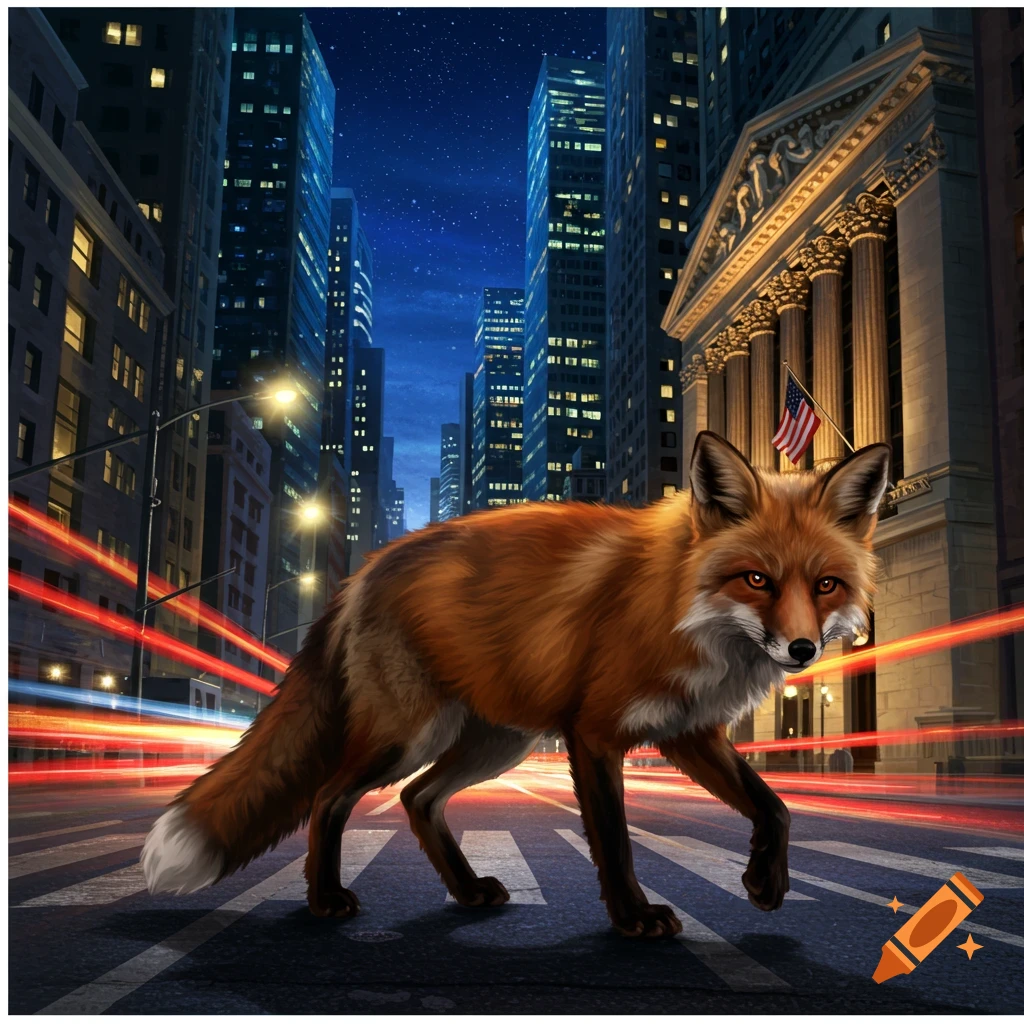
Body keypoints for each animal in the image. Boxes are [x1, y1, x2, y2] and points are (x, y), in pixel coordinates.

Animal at [141, 431, 890, 939]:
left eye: (825, 585)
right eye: (757, 579)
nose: (802, 649)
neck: (682, 605)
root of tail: (363, 572)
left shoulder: (688, 731)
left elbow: (774, 808)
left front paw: (766, 882)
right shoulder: (595, 733)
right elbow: (614, 839)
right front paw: (633, 918)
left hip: (496, 743)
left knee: (417, 800)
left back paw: (468, 891)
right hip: (409, 736)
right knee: (330, 797)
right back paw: (326, 902)